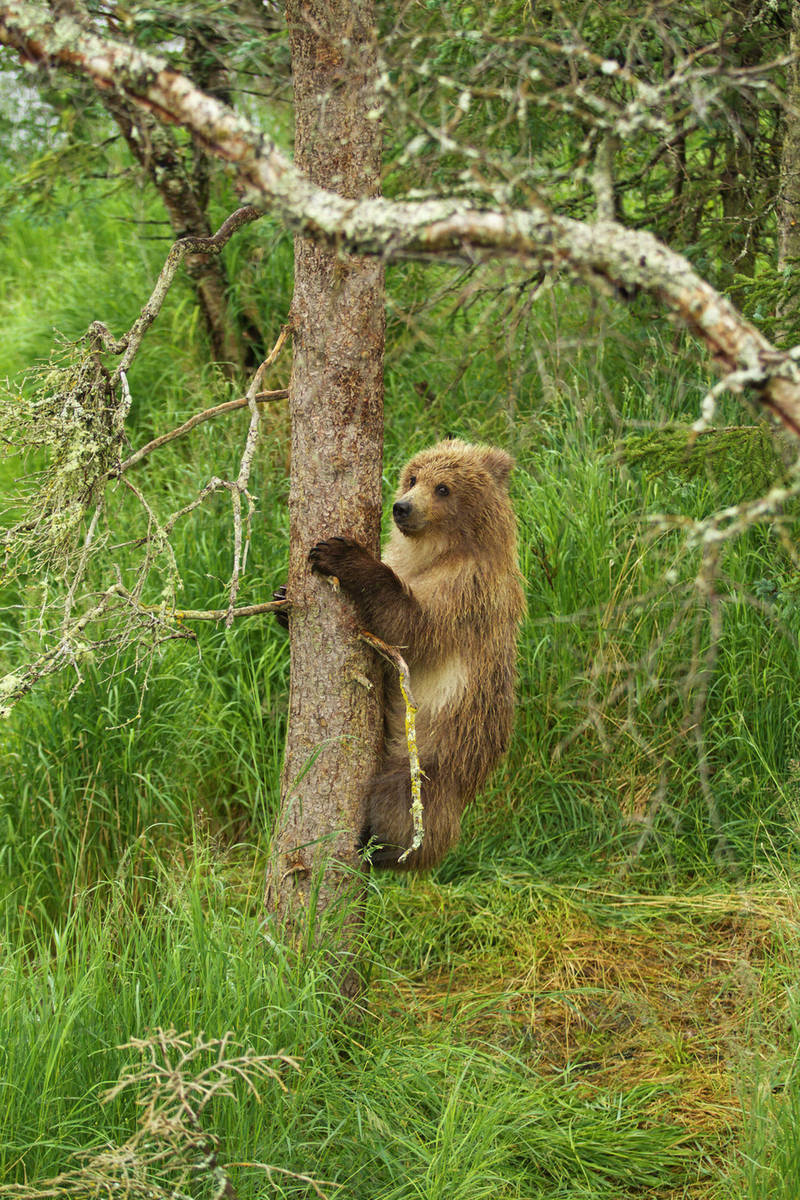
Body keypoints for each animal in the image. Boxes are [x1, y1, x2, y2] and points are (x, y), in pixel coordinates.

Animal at [308, 438, 526, 870]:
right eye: (413, 477)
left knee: (404, 808)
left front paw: (340, 554)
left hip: (432, 761)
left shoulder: (465, 592)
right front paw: (280, 602)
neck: (434, 552)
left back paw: (378, 845)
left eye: (443, 488)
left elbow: (409, 625)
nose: (402, 508)